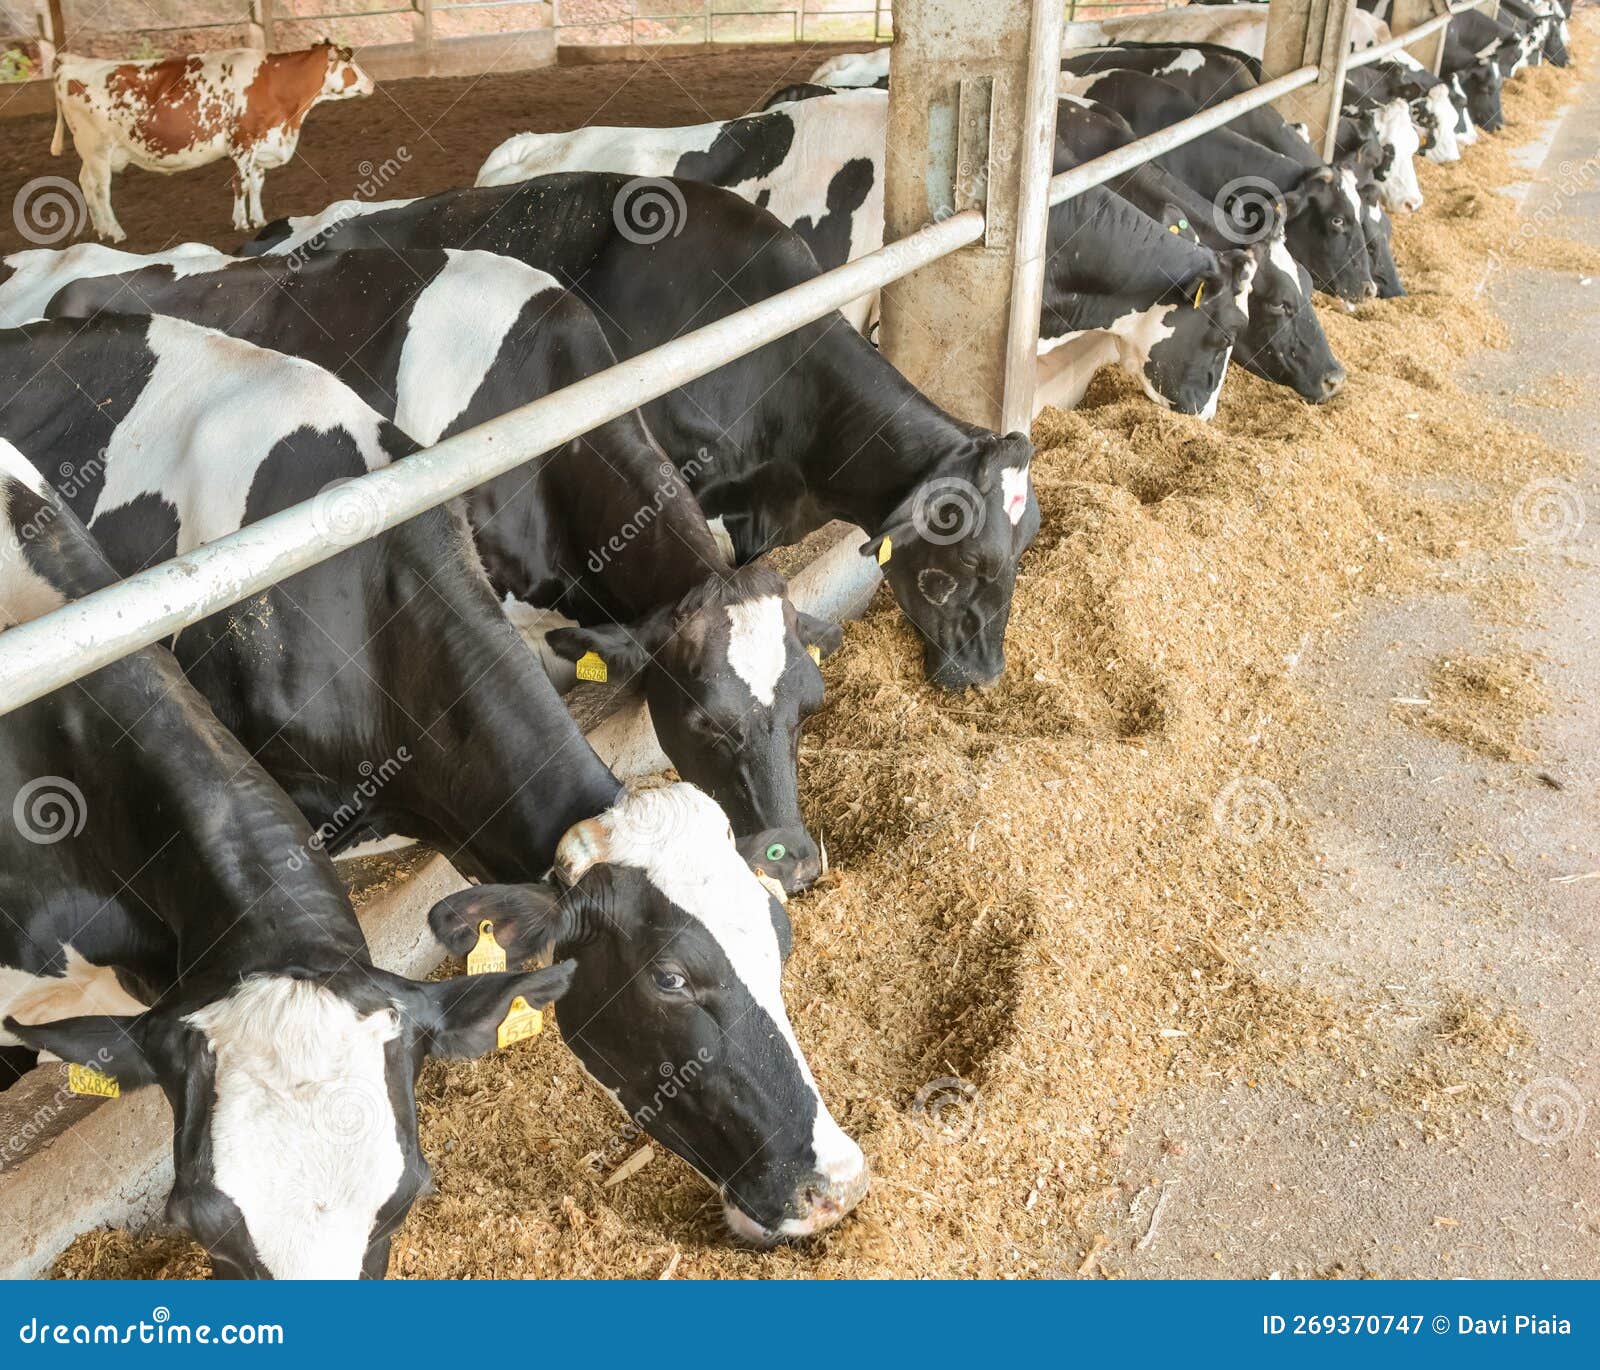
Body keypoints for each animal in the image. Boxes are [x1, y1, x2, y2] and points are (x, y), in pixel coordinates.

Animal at [49, 41, 373, 242]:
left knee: (86, 184)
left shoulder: (258, 144)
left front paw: (258, 219)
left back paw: (101, 230)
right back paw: (116, 232)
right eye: (350, 65)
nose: (371, 83)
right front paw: (242, 222)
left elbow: (256, 183)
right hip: (98, 149)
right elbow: (241, 184)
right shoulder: (243, 142)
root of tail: (71, 63)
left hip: (91, 155)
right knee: (101, 190)